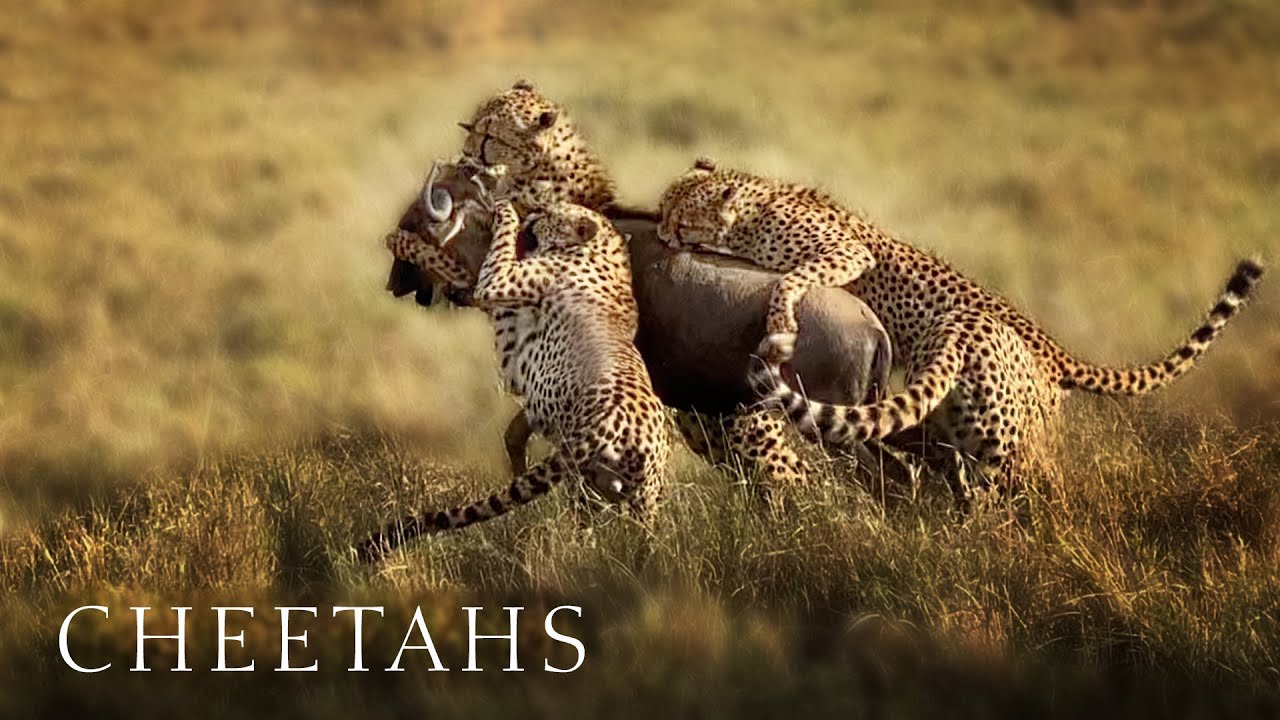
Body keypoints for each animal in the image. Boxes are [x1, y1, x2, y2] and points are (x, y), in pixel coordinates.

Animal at [359, 200, 671, 561]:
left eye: (550, 214)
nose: (532, 213)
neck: (601, 247)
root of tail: (617, 430)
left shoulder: (494, 283)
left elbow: (456, 256)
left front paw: (403, 240)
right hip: (635, 499)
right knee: (643, 536)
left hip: (580, 482)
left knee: (584, 528)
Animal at [658, 158, 1265, 495]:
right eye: (663, 207)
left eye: (678, 216)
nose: (660, 232)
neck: (754, 205)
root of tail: (1051, 349)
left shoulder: (845, 253)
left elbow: (791, 278)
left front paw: (781, 318)